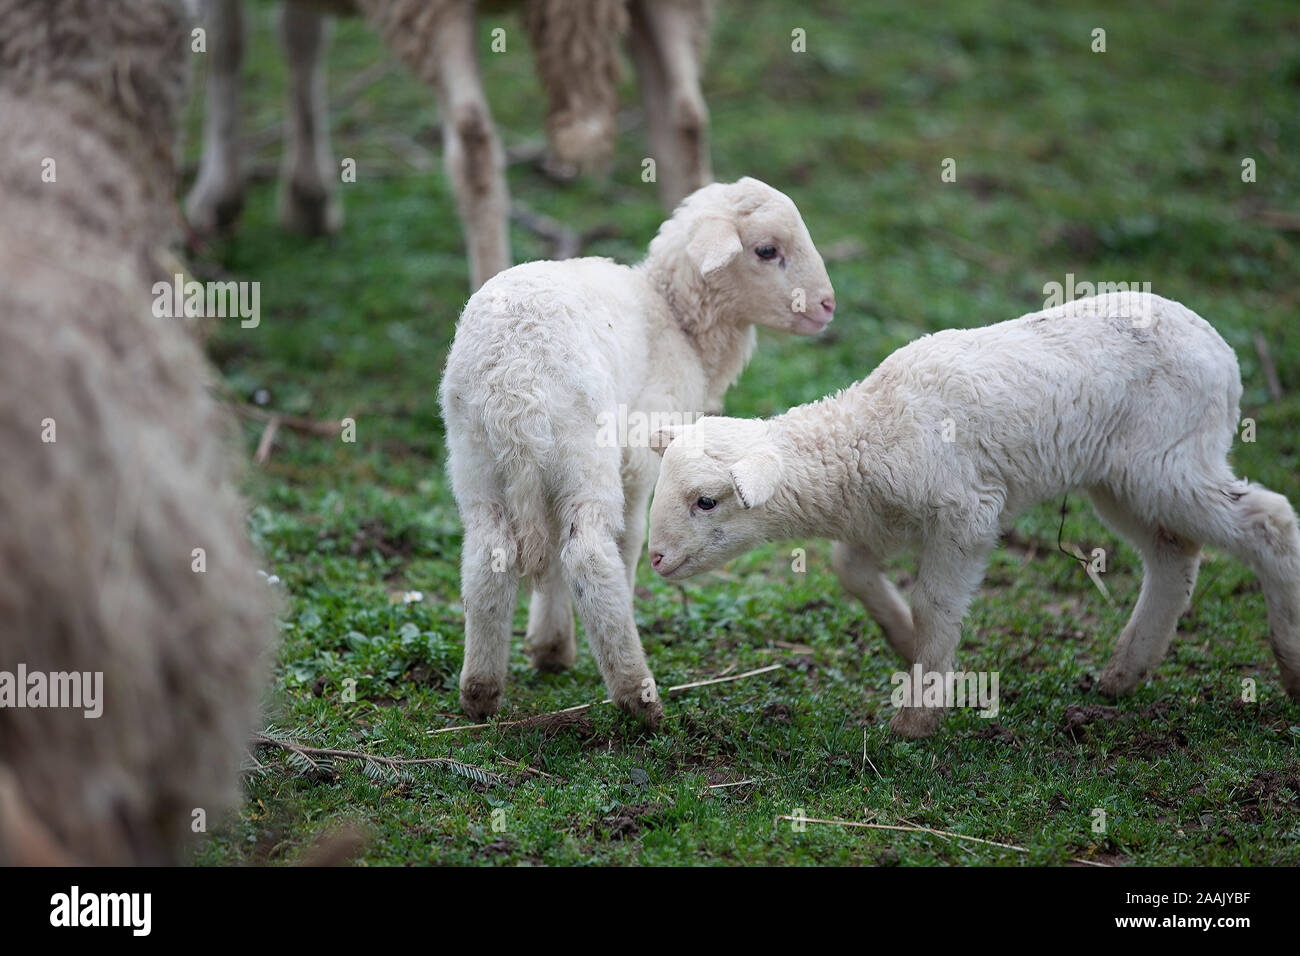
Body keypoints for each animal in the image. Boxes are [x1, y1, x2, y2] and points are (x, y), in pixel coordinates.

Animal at [186, 0, 713, 290]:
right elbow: (299, 36)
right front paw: (307, 199)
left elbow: (227, 42)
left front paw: (220, 195)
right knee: (685, 124)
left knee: (473, 139)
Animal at [440, 177, 836, 727]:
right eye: (766, 250)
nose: (827, 306)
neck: (677, 316)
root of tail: (514, 379)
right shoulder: (641, 456)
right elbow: (625, 543)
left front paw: (550, 646)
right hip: (584, 451)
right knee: (590, 555)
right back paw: (637, 694)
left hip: (476, 456)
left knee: (488, 555)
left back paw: (479, 693)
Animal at [646, 291, 1300, 738]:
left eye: (706, 501)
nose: (654, 559)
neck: (863, 432)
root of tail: (1219, 347)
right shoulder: (883, 518)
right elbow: (849, 568)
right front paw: (905, 642)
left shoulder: (965, 512)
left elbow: (936, 603)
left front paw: (918, 714)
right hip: (1122, 479)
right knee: (1173, 557)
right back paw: (1124, 673)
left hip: (1169, 459)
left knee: (1267, 519)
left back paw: (1289, 661)